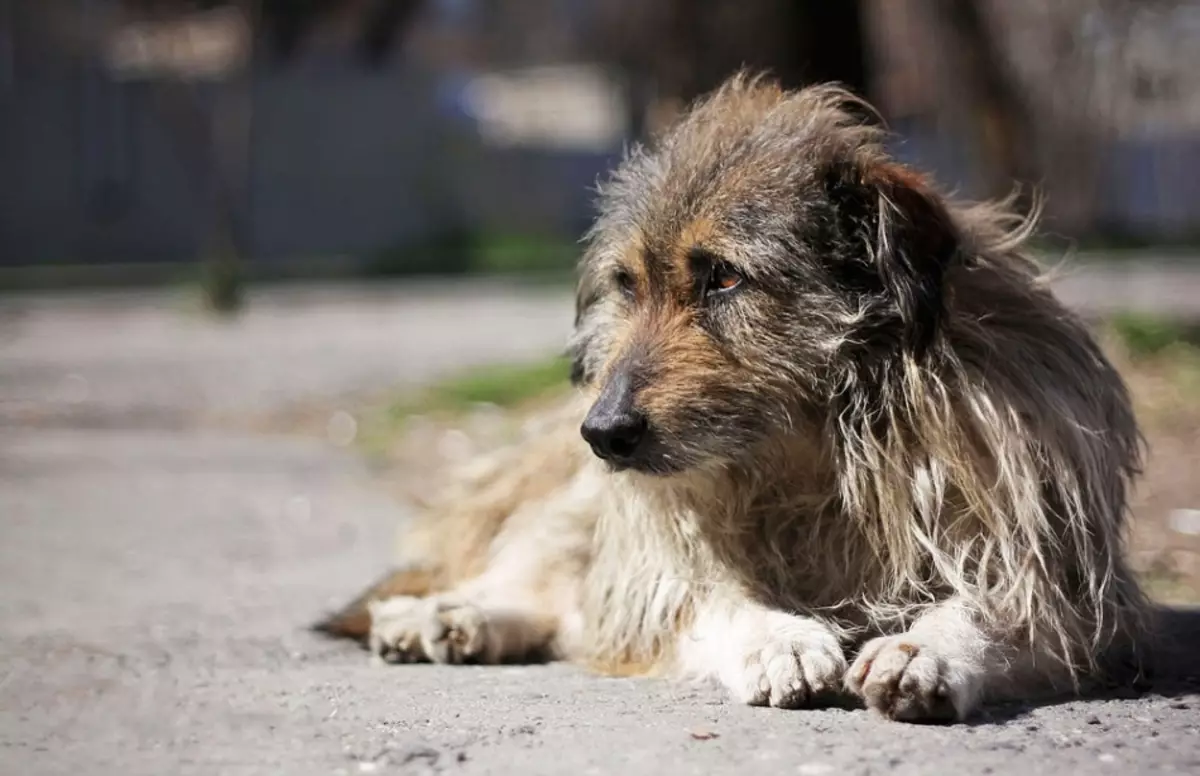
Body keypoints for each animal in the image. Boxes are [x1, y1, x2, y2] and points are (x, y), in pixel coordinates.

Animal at [319, 71, 1152, 724]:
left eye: (723, 277)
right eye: (628, 284)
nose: (603, 432)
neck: (816, 454)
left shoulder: (1053, 569)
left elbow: (997, 606)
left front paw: (926, 648)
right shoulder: (662, 554)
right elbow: (703, 599)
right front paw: (777, 638)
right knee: (543, 578)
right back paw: (442, 612)